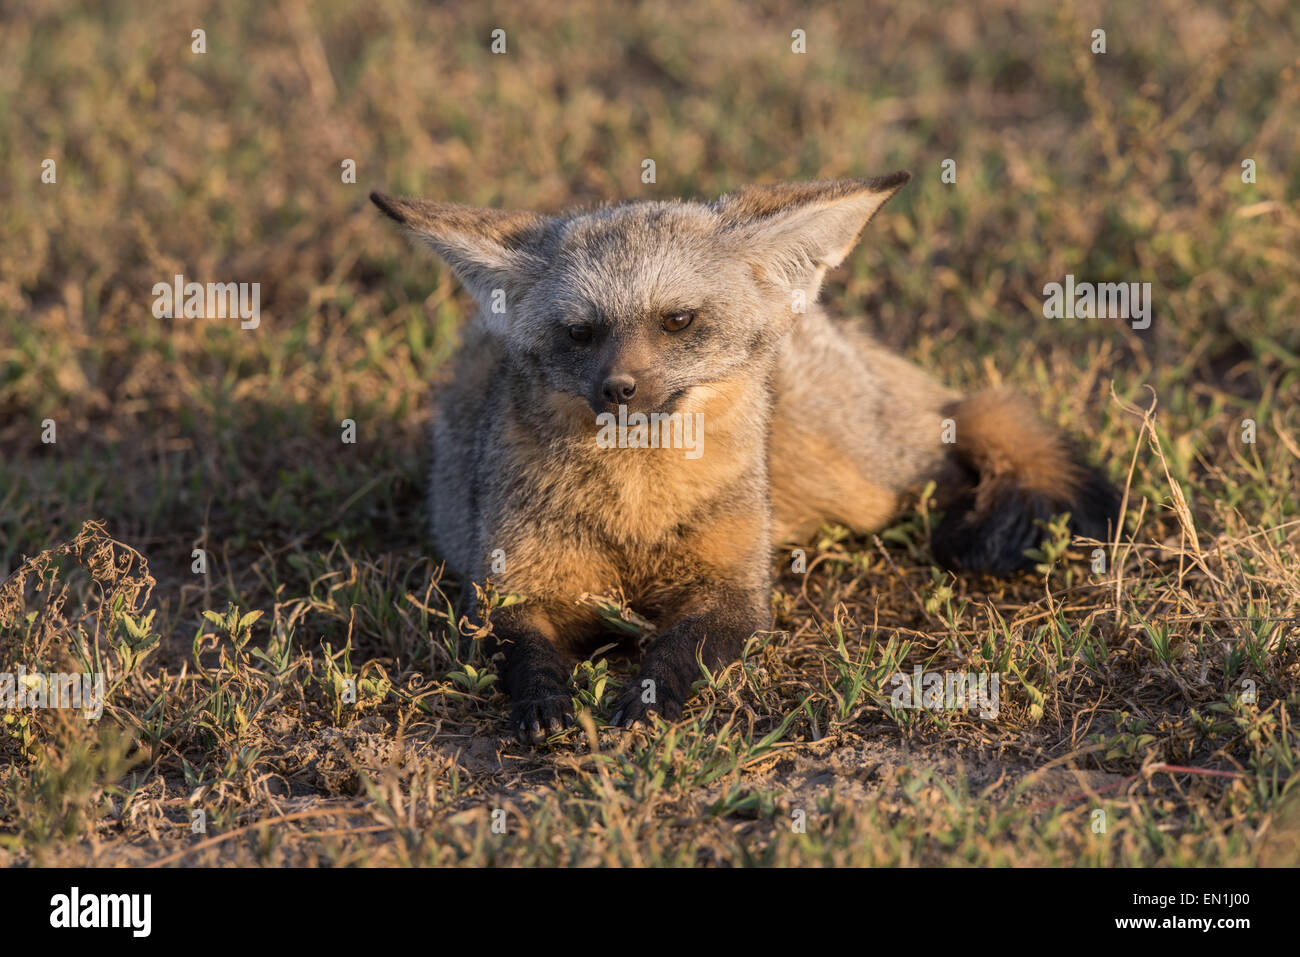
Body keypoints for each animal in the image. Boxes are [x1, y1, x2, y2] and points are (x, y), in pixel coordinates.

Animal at [370, 173, 1120, 742]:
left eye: (677, 321)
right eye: (581, 333)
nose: (619, 388)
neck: (638, 510)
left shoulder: (735, 590)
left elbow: (681, 649)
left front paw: (645, 699)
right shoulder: (510, 588)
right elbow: (524, 652)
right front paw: (546, 703)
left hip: (865, 483)